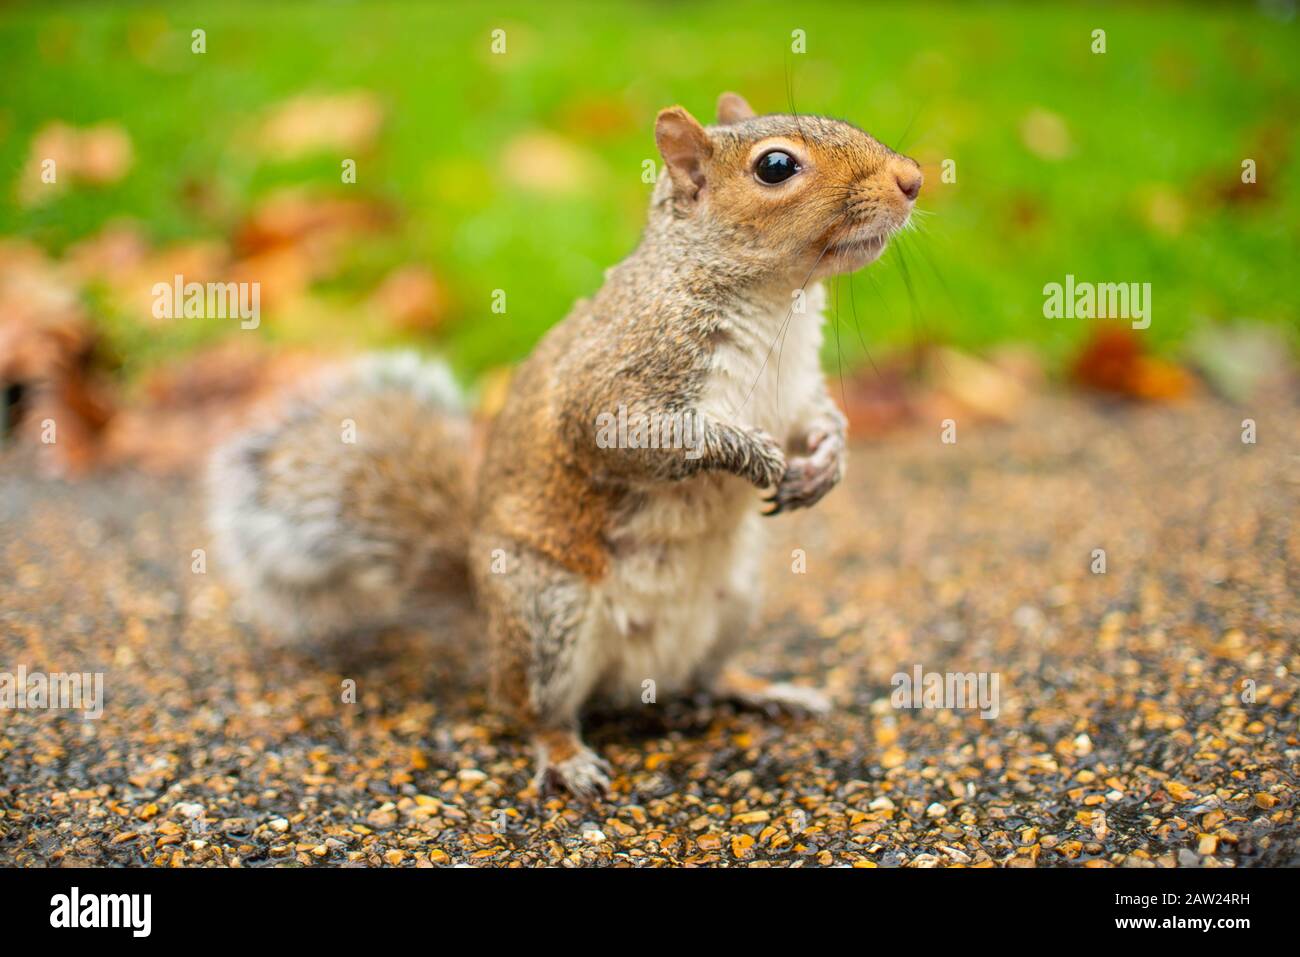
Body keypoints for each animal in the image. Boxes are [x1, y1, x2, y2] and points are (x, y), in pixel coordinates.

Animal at [208, 92, 922, 799]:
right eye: (776, 167)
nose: (913, 178)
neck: (776, 301)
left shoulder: (795, 387)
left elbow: (817, 420)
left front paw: (824, 465)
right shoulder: (616, 383)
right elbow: (644, 436)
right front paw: (752, 454)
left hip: (735, 602)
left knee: (704, 678)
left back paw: (764, 689)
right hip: (547, 616)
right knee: (527, 707)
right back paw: (566, 756)